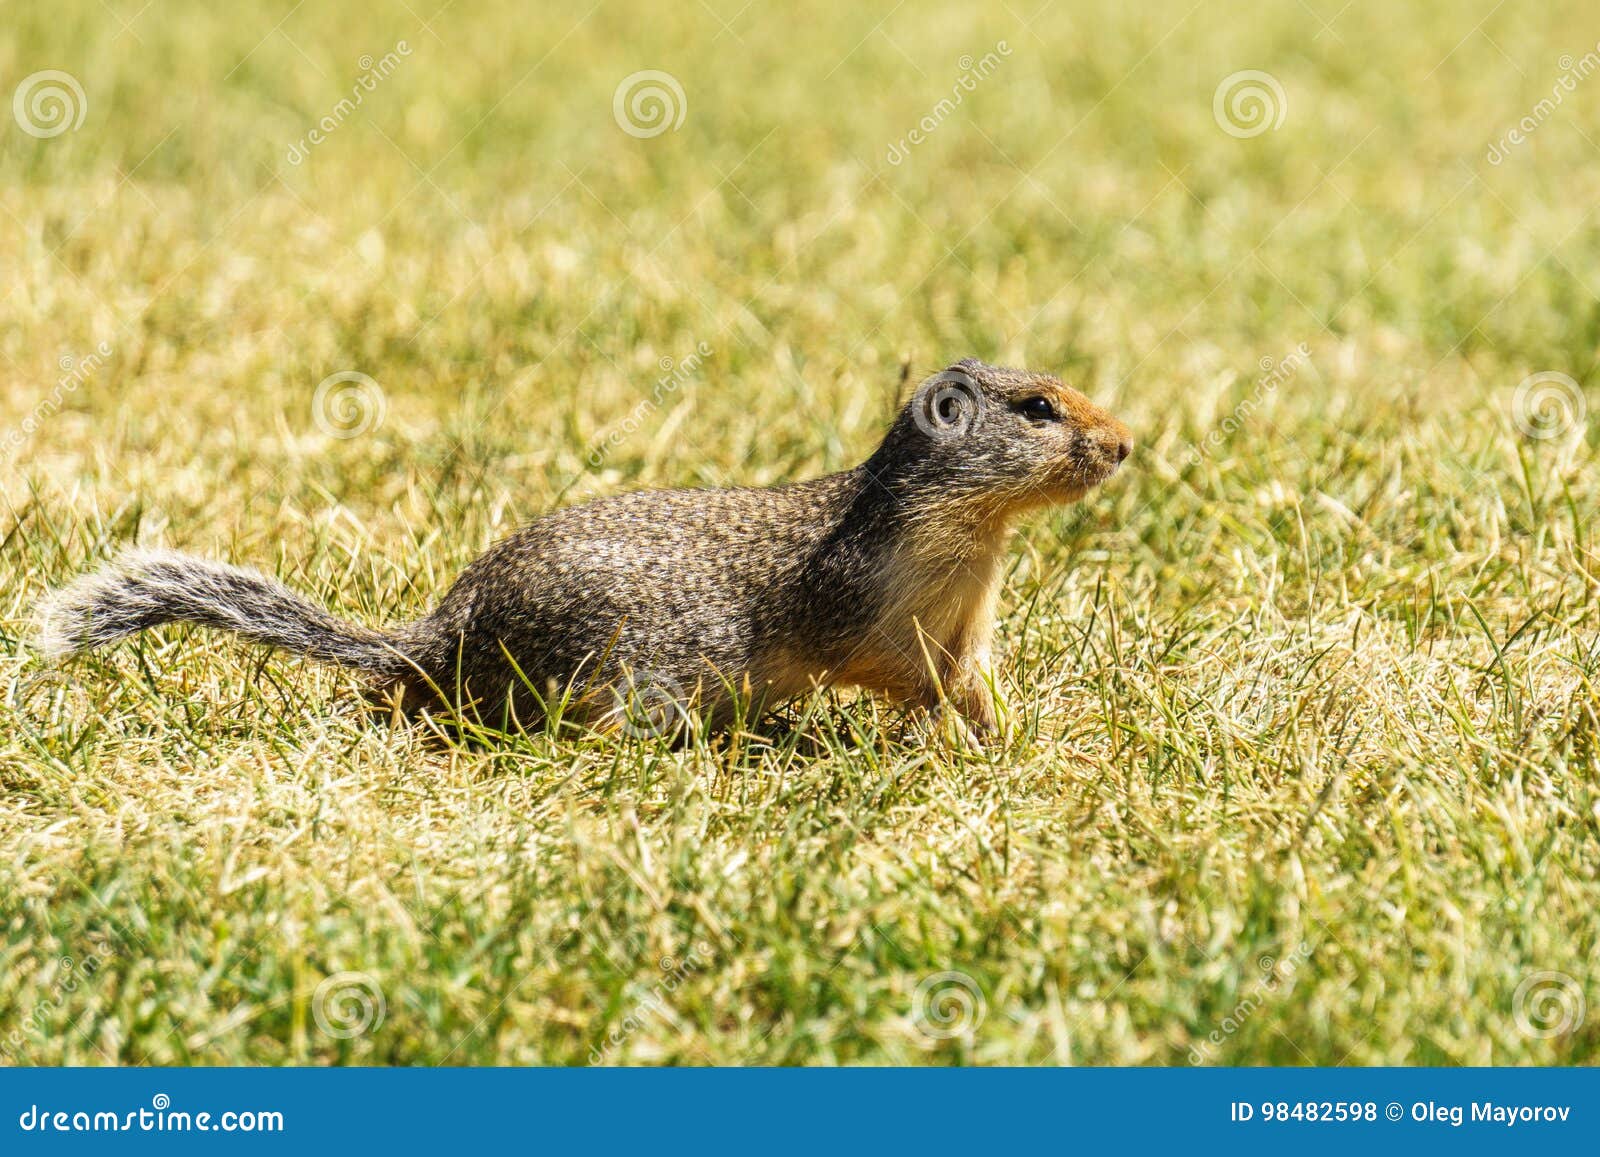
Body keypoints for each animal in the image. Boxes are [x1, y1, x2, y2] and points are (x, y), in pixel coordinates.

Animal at [33, 358, 1132, 738]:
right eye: (1038, 408)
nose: (1127, 444)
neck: (975, 532)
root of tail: (441, 635)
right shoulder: (869, 604)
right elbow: (897, 670)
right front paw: (952, 728)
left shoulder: (967, 615)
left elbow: (973, 676)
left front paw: (1001, 728)